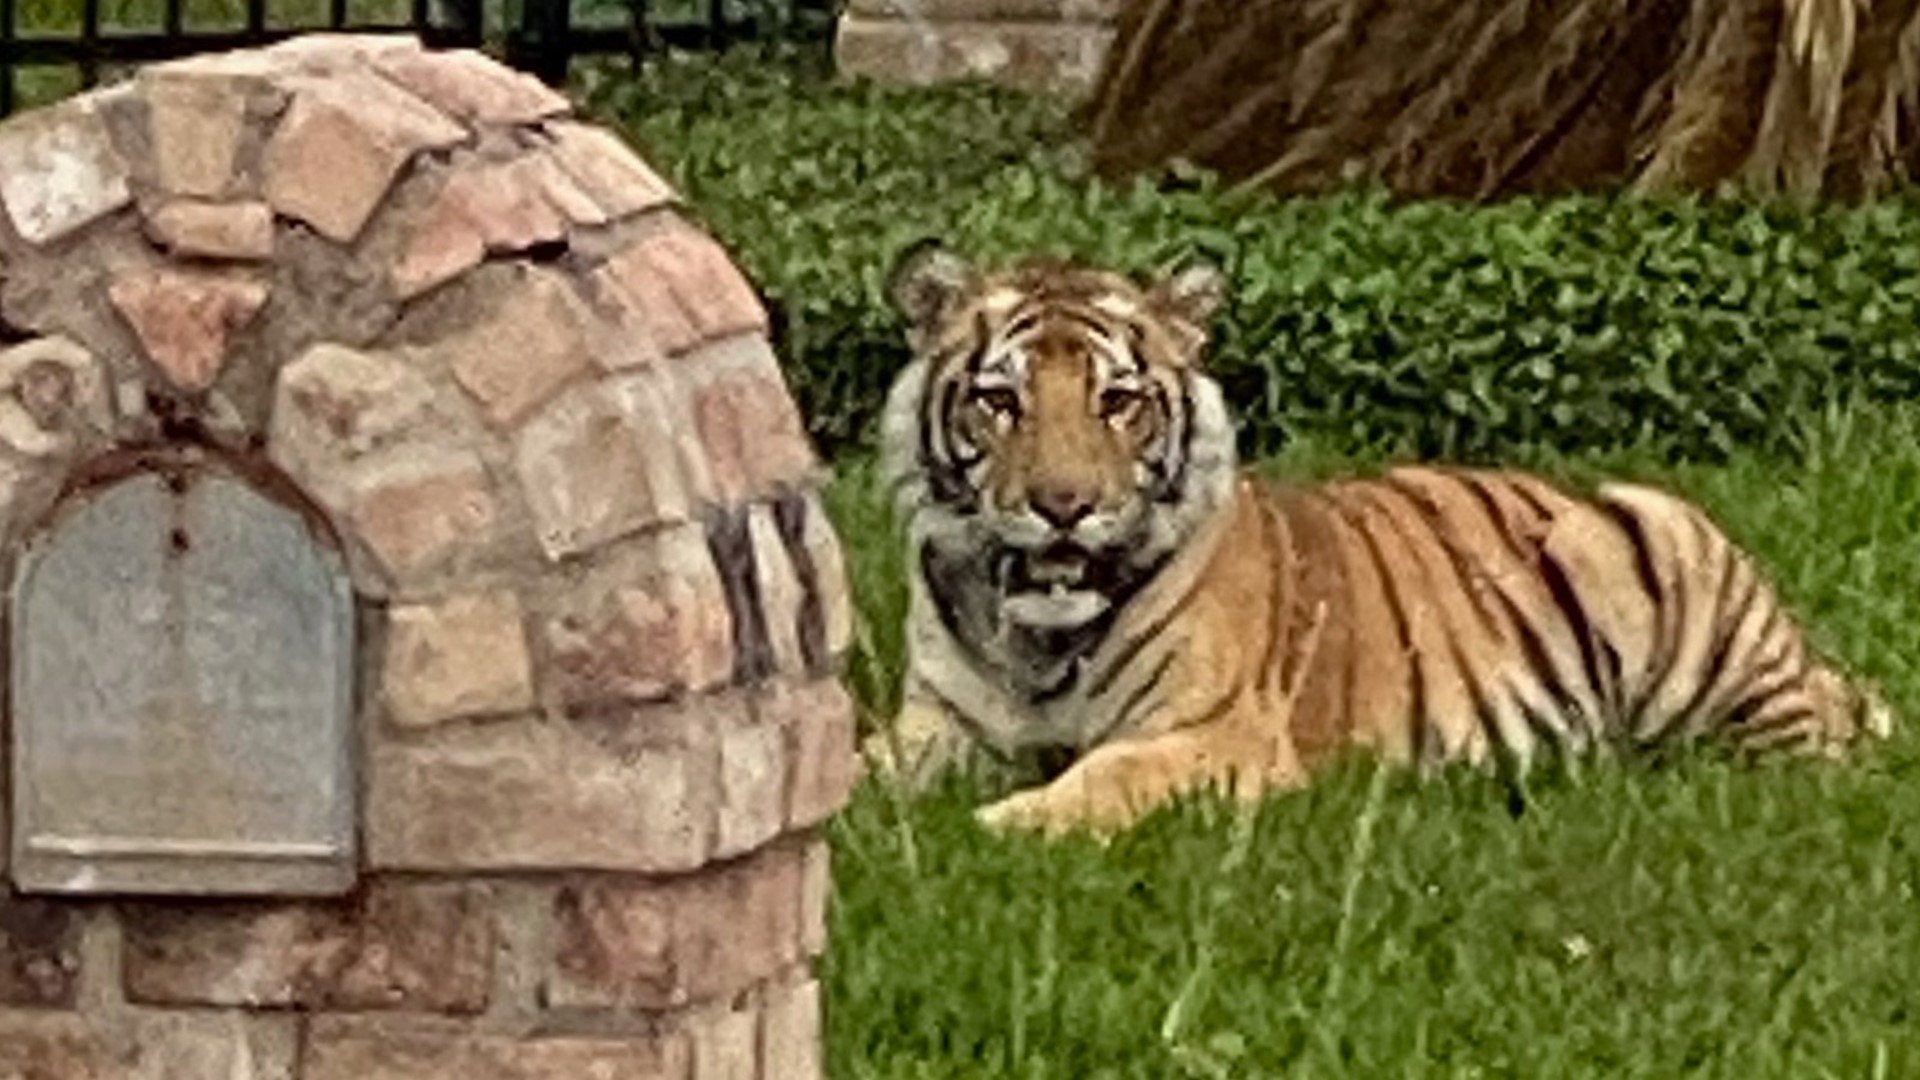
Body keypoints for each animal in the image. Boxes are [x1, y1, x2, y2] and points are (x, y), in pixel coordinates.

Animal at [864, 240, 1896, 837]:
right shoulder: (938, 728)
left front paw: (1004, 825)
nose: (1064, 504)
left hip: (1665, 554)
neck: (1038, 640)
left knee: (1807, 745)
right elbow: (862, 764)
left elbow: (1107, 777)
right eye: (1001, 401)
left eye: (1119, 402)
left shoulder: (1219, 733)